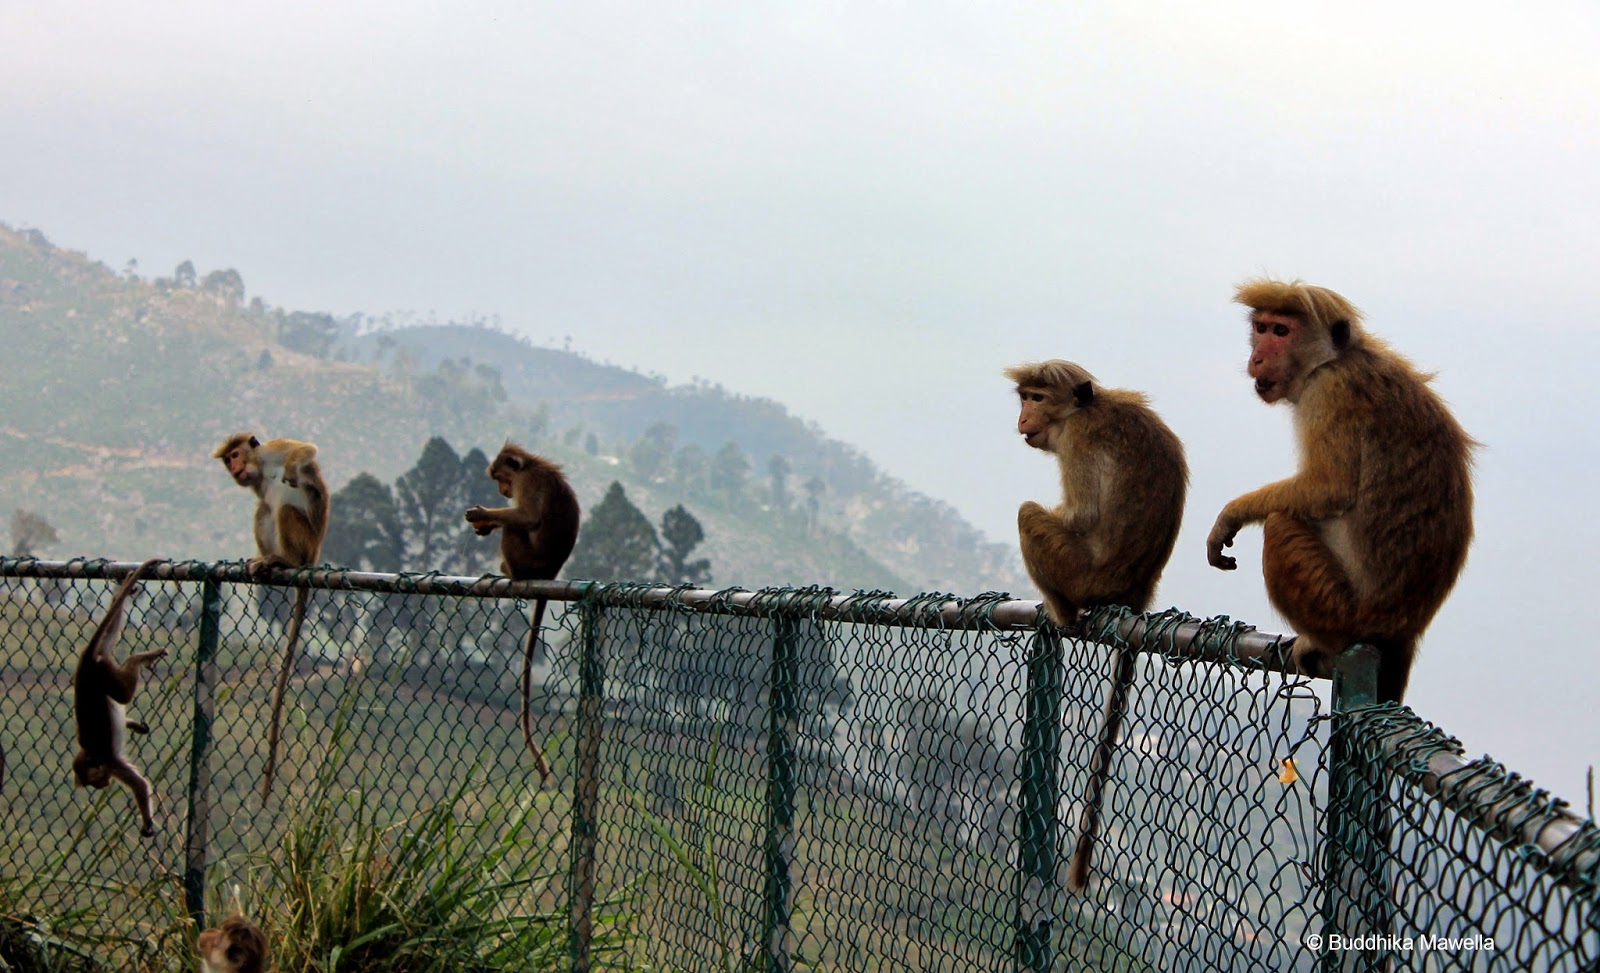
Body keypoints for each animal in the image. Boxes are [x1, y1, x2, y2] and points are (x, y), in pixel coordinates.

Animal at [73, 558, 165, 837]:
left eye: (95, 781)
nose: (103, 786)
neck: (90, 754)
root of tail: (84, 667)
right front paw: (132, 724)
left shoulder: (111, 762)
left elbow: (139, 785)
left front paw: (147, 822)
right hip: (101, 665)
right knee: (107, 639)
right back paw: (120, 594)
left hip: (101, 671)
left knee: (122, 693)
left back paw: (138, 659)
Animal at [214, 432, 330, 801]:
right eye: (228, 460)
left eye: (236, 454)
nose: (234, 466)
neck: (260, 470)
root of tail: (313, 557)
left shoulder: (273, 449)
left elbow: (305, 450)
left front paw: (294, 471)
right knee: (263, 510)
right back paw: (265, 561)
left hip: (304, 542)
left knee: (283, 510)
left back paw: (283, 561)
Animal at [465, 442, 580, 785]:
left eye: (502, 478)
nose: (503, 491)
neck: (528, 467)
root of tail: (550, 573)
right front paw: (485, 524)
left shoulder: (529, 483)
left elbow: (527, 519)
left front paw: (484, 515)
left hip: (526, 561)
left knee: (514, 529)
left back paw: (509, 574)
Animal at [1007, 360, 1188, 893]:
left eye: (1038, 398)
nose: (1023, 417)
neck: (1085, 409)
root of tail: (1137, 592)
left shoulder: (1079, 441)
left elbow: (1082, 516)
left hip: (1080, 574)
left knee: (1029, 515)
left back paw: (1063, 613)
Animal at [1206, 278, 1474, 704]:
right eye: (1261, 328)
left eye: (1281, 331)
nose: (1258, 358)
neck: (1334, 360)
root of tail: (1405, 629)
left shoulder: (1328, 390)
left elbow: (1330, 486)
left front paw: (1232, 513)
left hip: (1340, 610)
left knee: (1281, 523)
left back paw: (1319, 642)